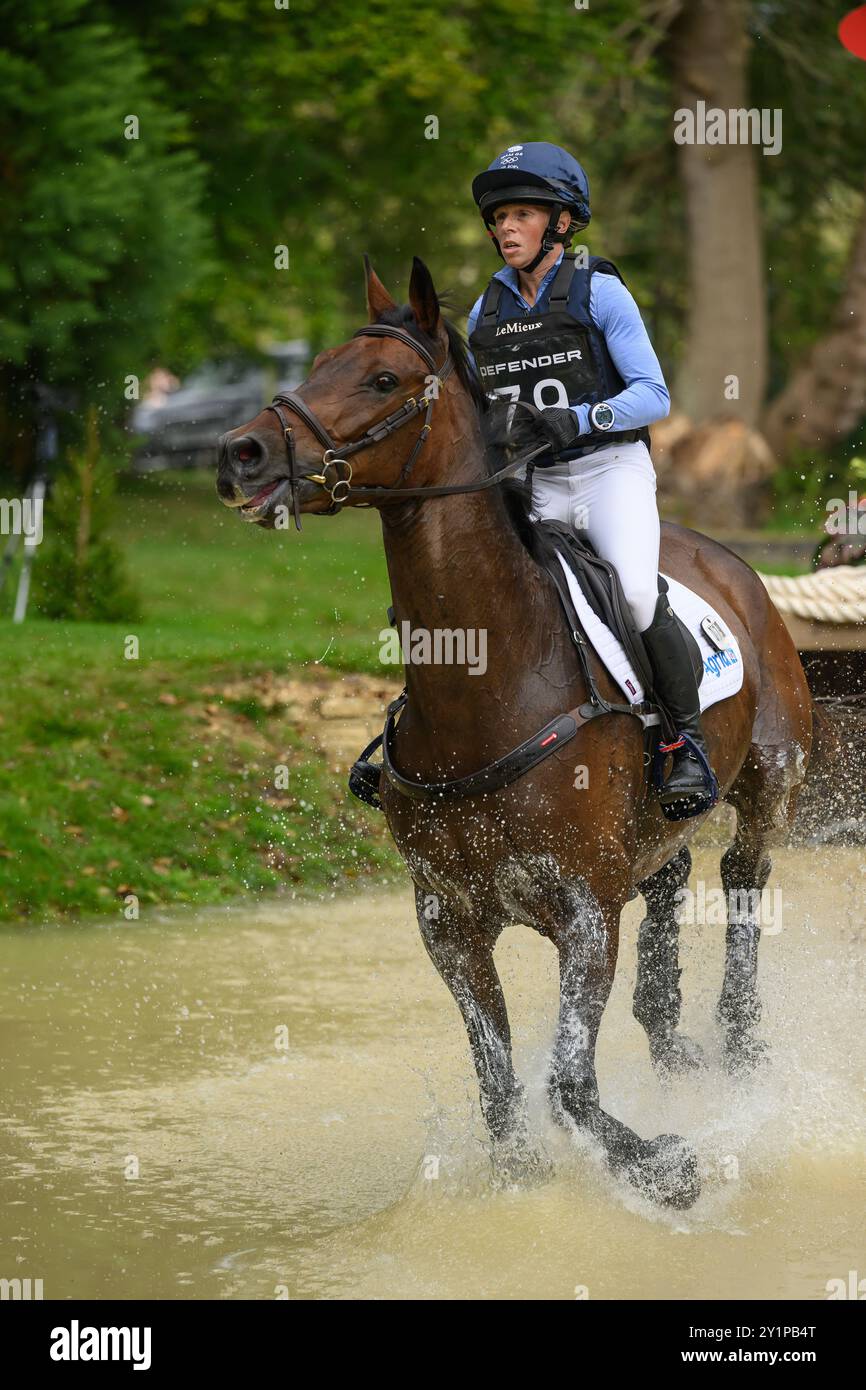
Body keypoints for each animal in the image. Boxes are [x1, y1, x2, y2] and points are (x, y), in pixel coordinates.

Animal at [215, 257, 813, 1210]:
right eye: (317, 364)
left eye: (383, 380)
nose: (241, 454)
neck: (485, 686)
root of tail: (730, 560)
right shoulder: (449, 921)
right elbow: (499, 1086)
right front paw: (524, 1180)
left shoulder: (584, 912)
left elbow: (567, 1081)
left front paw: (667, 1169)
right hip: (656, 825)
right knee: (672, 873)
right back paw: (670, 1033)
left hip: (770, 778)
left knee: (744, 876)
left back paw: (739, 1039)